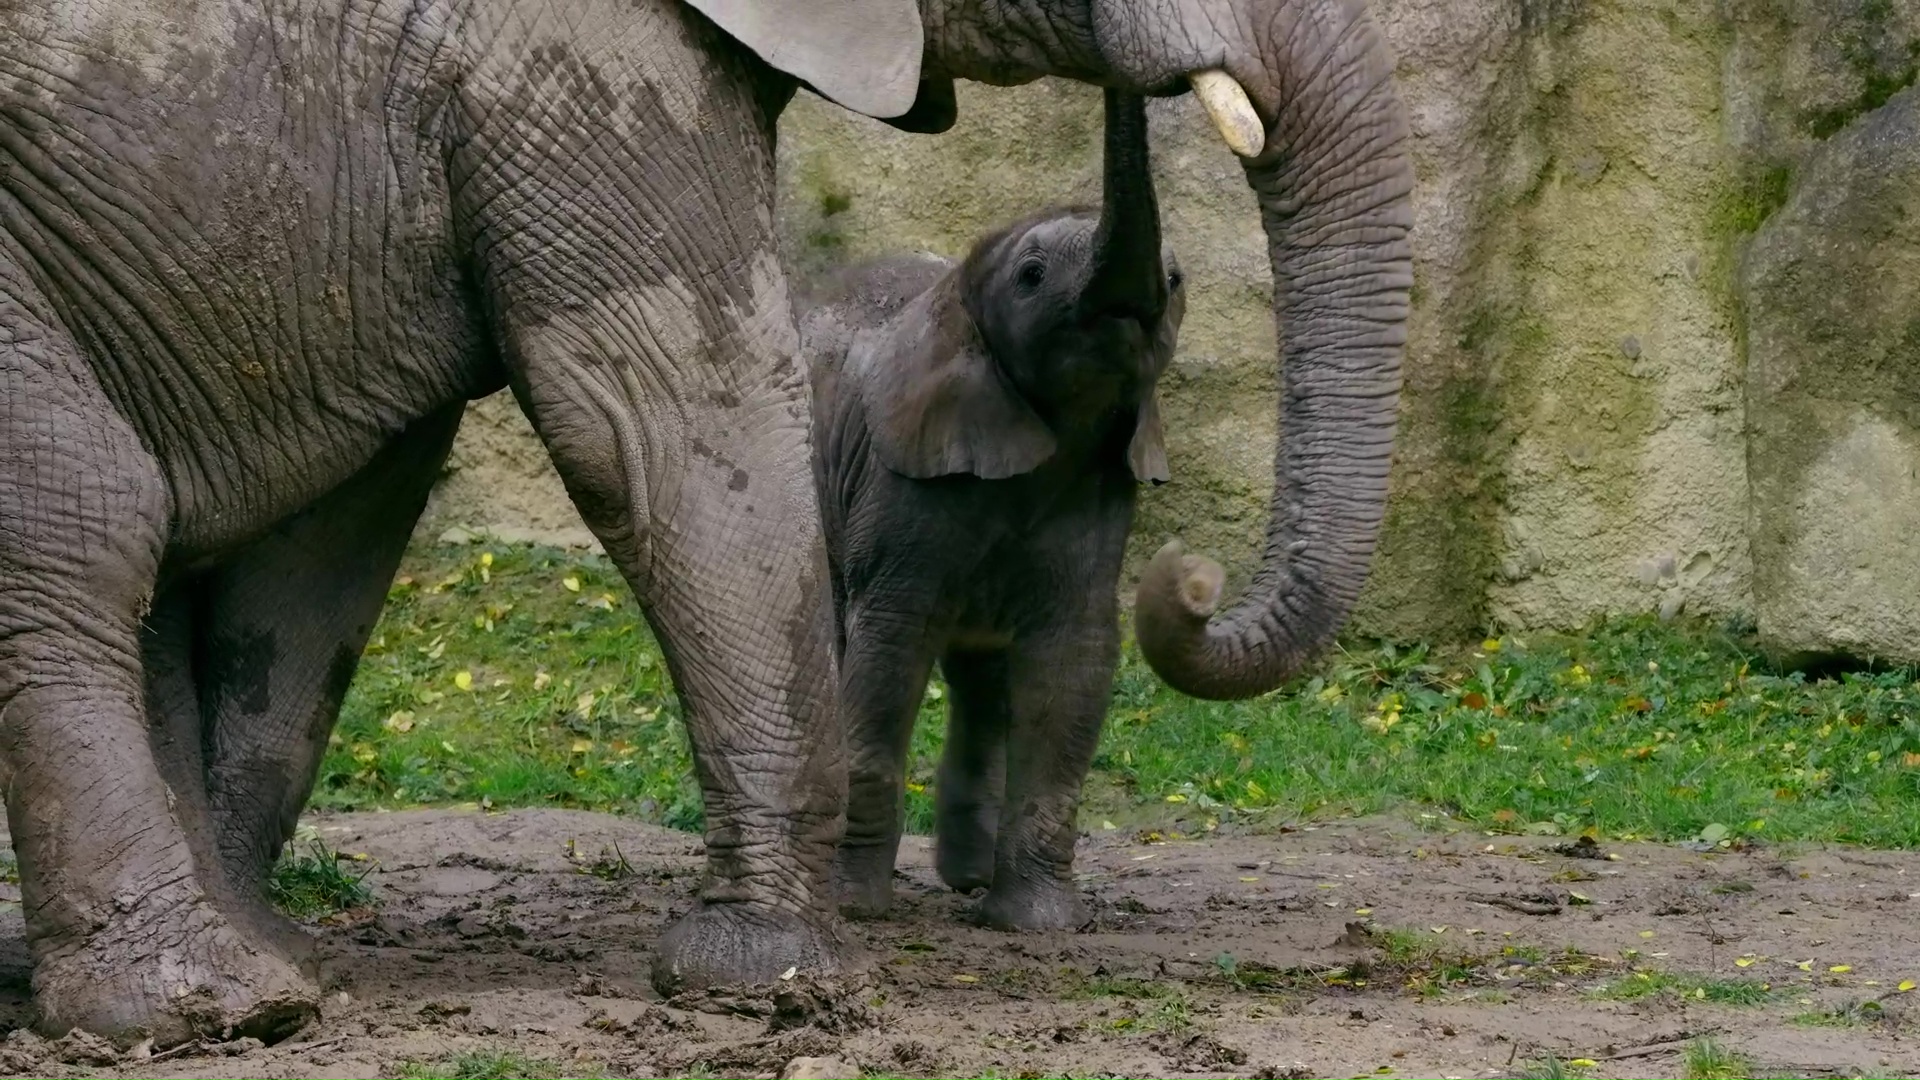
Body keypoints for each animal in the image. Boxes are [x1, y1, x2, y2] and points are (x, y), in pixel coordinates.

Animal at [802, 88, 1181, 931]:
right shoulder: (899, 486)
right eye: (1032, 276)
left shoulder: (1101, 488)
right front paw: (853, 910)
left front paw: (1038, 926)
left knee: (985, 685)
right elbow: (884, 656)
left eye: (1177, 281)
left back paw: (971, 882)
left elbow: (1072, 664)